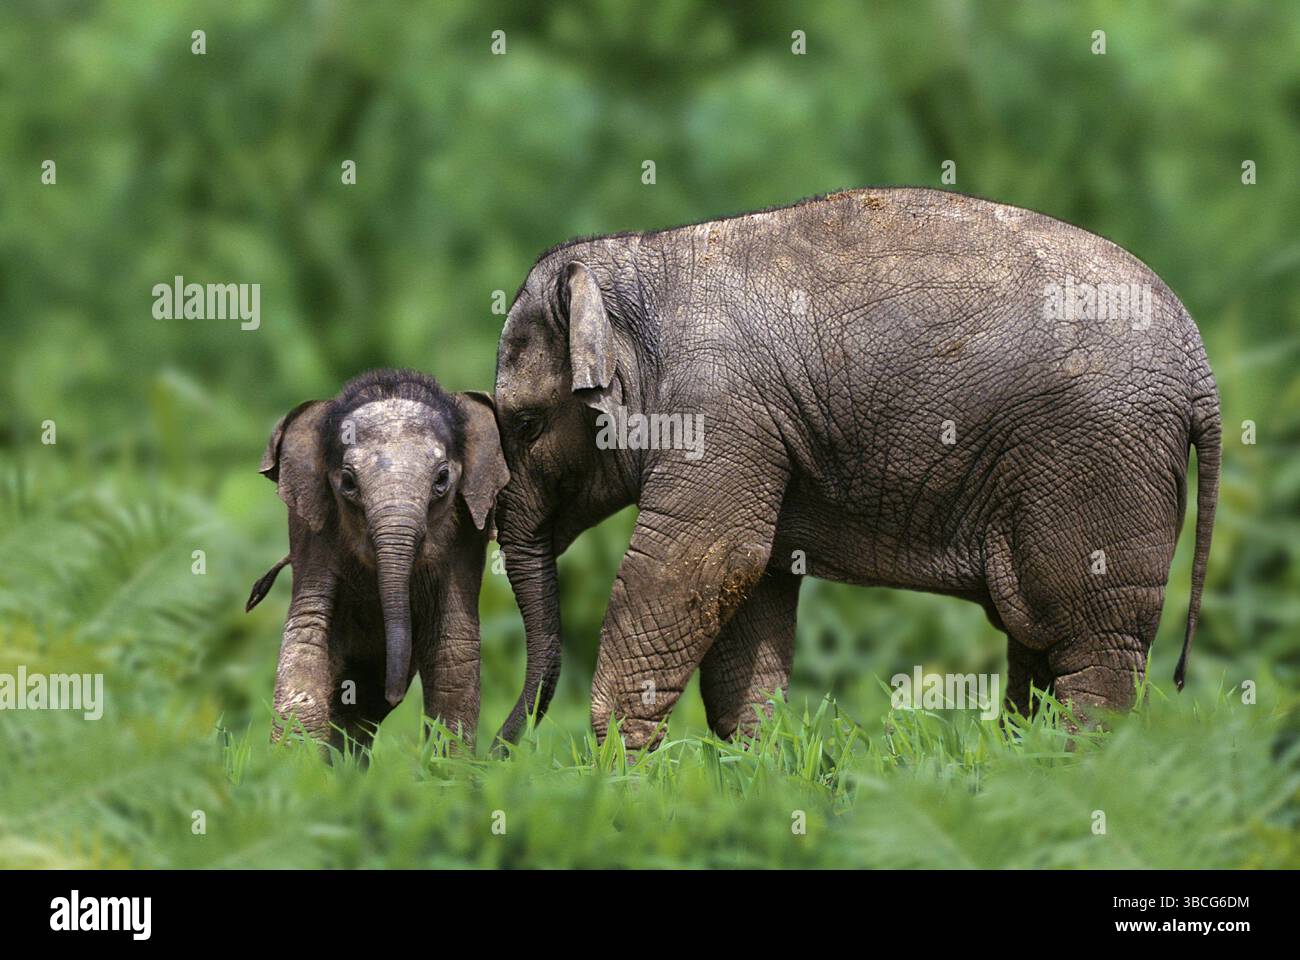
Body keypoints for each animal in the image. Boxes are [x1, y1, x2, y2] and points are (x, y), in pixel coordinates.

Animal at [247, 369, 509, 753]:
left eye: (442, 479)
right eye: (348, 481)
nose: (395, 693)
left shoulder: (468, 531)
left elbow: (454, 647)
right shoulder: (311, 526)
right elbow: (307, 634)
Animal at [490, 187, 1220, 750]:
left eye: (525, 425)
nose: (494, 753)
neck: (632, 259)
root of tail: (1200, 366)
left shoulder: (719, 414)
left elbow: (704, 561)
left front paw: (617, 774)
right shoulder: (757, 433)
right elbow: (753, 588)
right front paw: (758, 767)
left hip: (1100, 462)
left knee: (1091, 643)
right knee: (1036, 635)